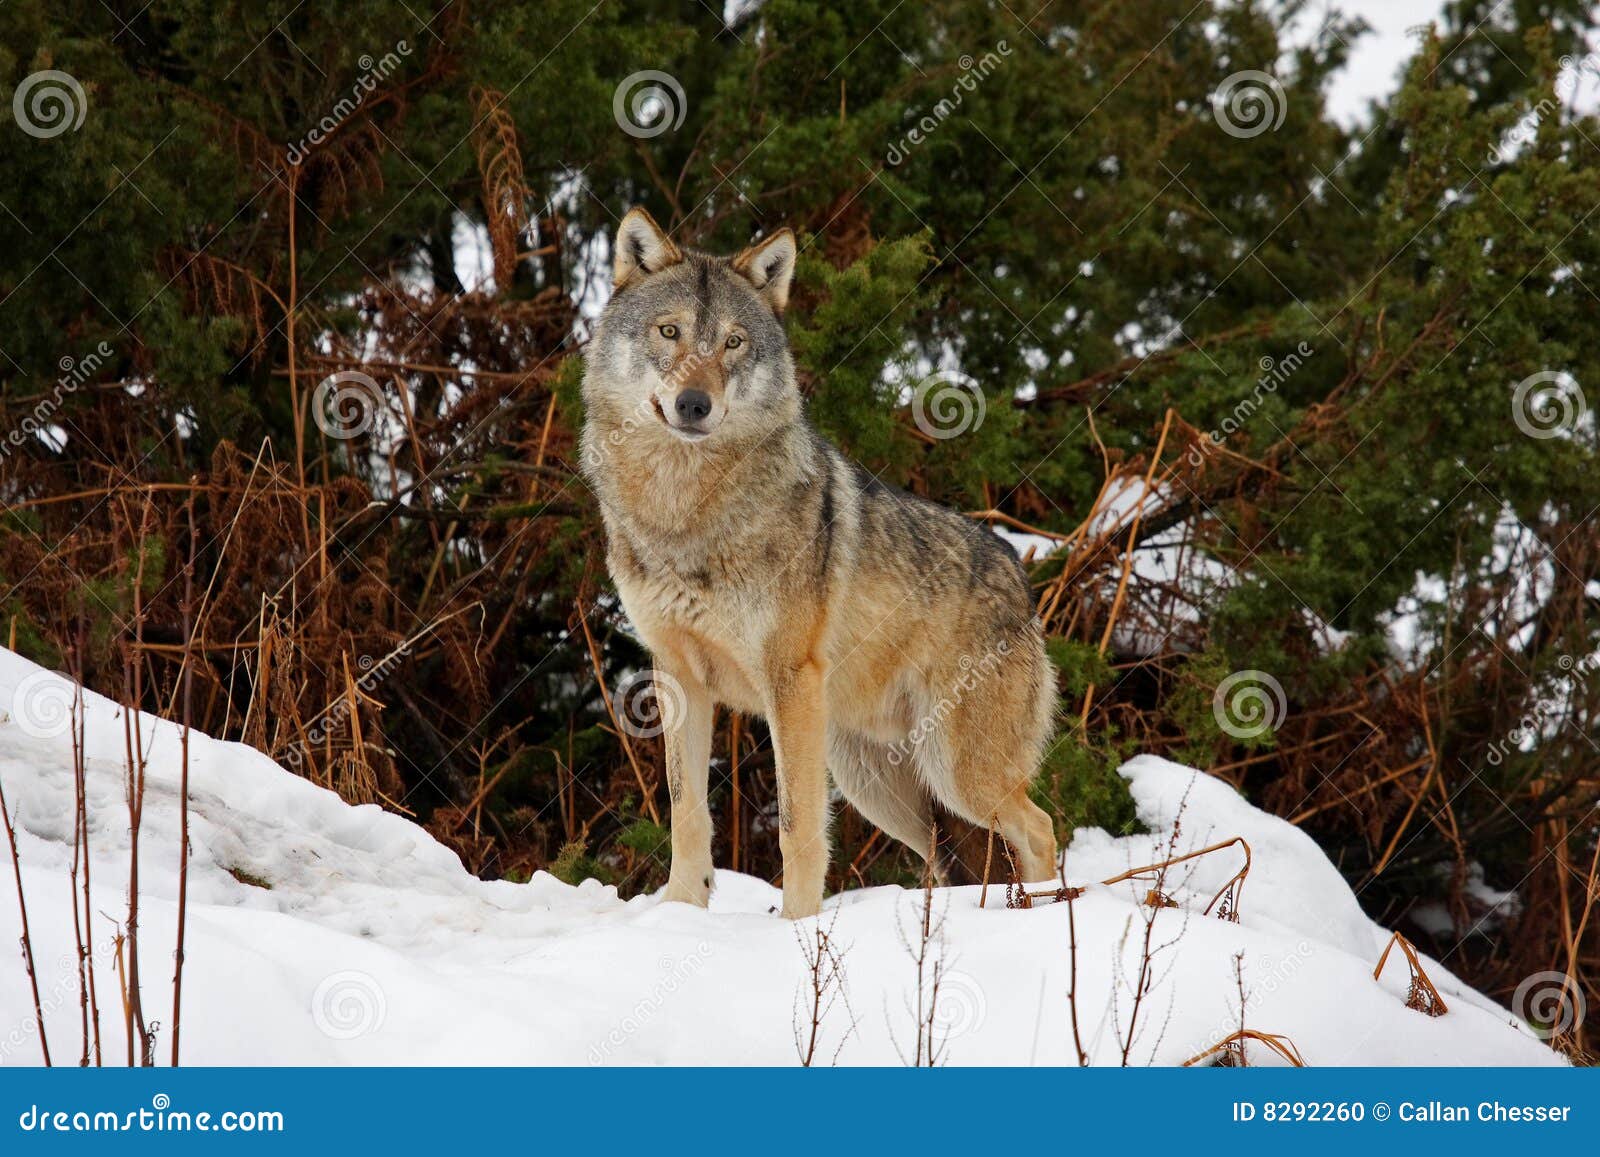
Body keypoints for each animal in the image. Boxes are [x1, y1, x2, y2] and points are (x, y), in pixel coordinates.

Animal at [580, 208, 1059, 918]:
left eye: (733, 343)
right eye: (669, 332)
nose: (694, 404)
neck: (684, 514)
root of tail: (1021, 577)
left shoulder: (789, 683)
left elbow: (797, 826)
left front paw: (797, 925)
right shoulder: (678, 676)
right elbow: (687, 814)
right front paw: (680, 911)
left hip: (955, 773)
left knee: (1042, 827)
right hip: (882, 786)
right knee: (954, 855)